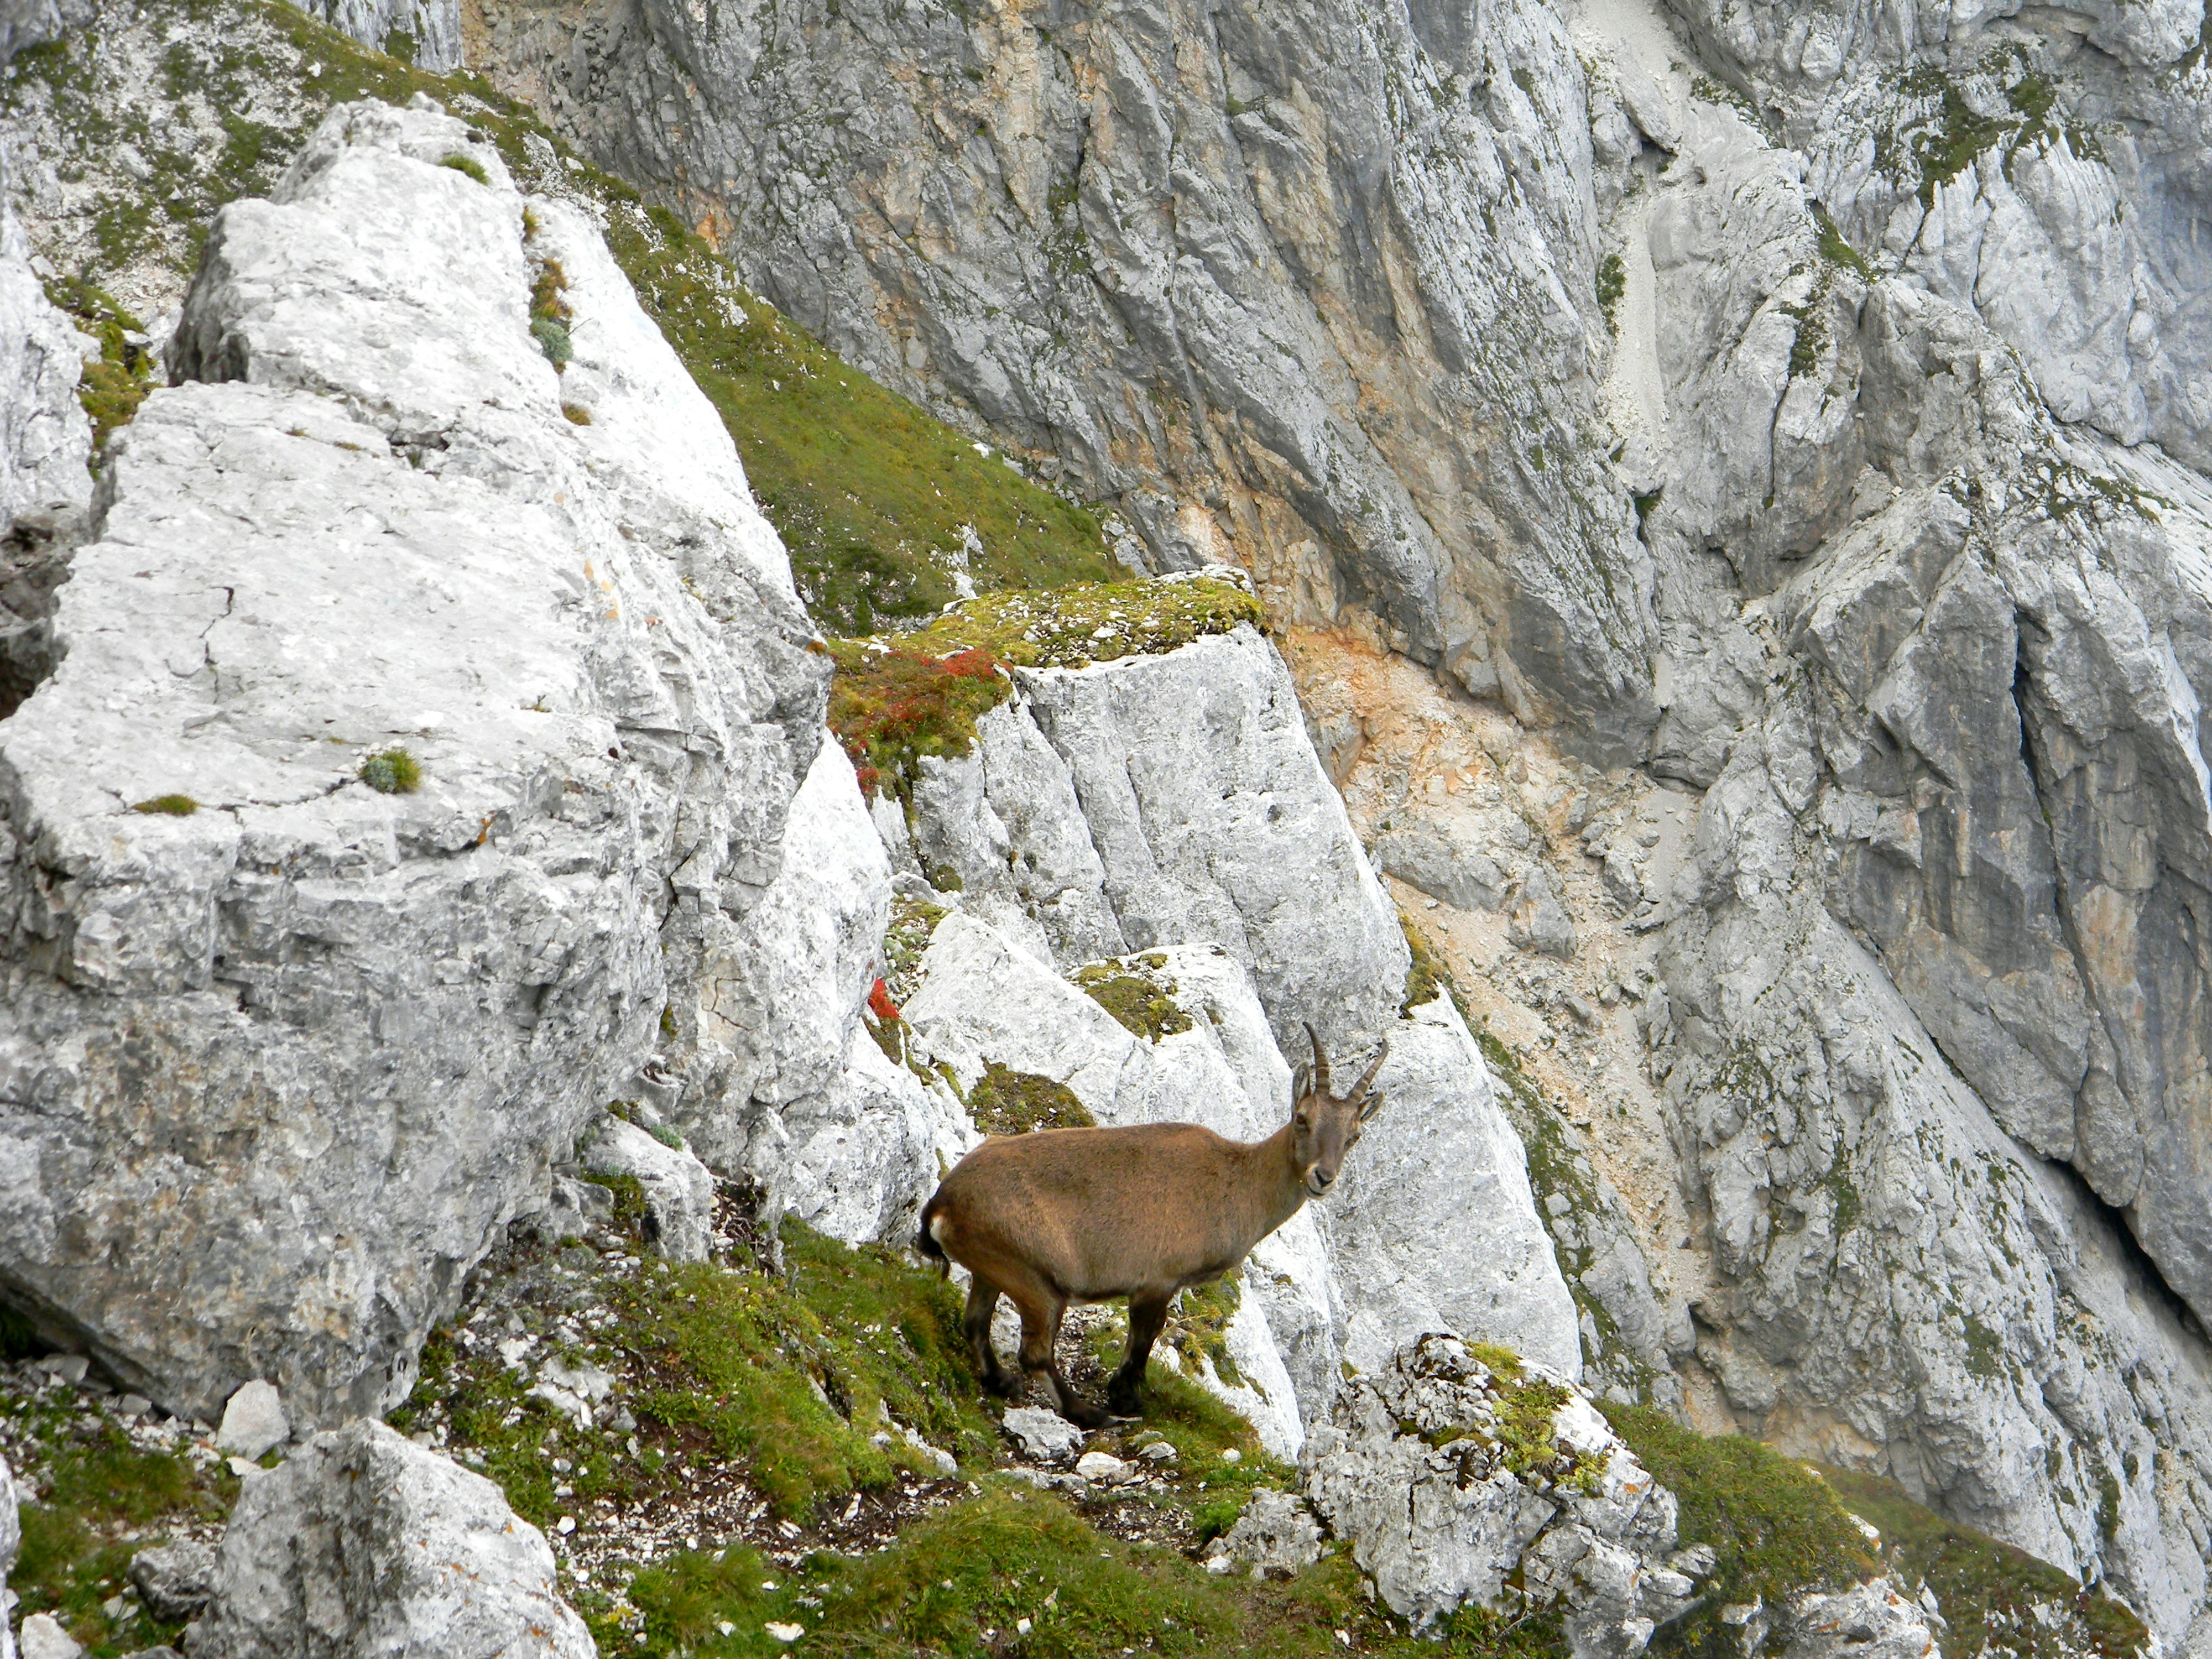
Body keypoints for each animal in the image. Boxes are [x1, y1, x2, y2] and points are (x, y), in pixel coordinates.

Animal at [916, 1024, 1390, 1427]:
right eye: (1302, 1118)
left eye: (1354, 1136)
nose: (1322, 1177)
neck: (1239, 1182)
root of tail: (943, 1203)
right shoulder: (1157, 1281)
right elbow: (1144, 1339)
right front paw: (1125, 1399)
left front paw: (1125, 1396)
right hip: (1035, 1281)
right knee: (1034, 1352)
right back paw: (1088, 1414)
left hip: (992, 1270)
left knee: (975, 1324)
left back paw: (1002, 1382)